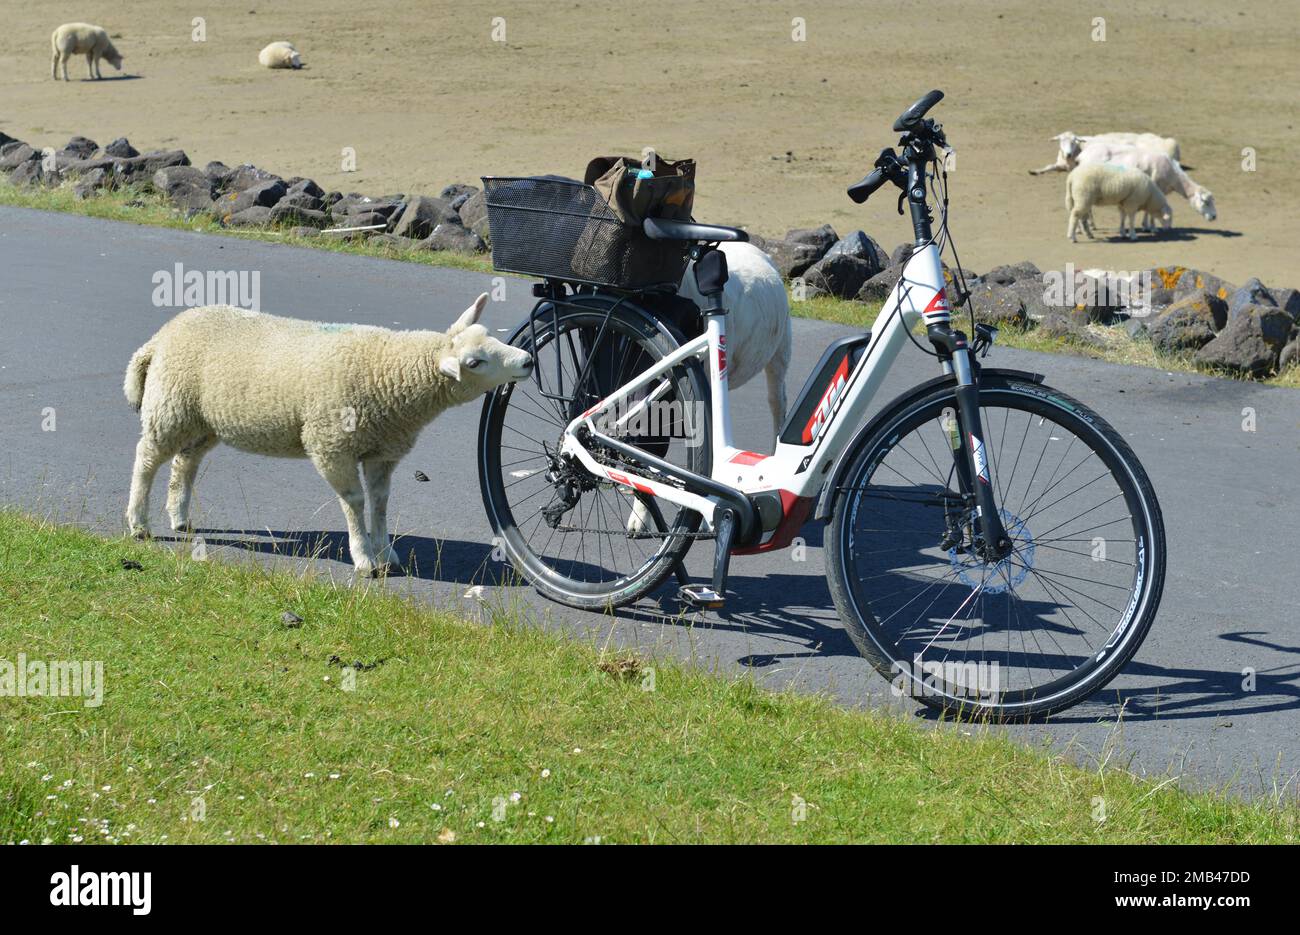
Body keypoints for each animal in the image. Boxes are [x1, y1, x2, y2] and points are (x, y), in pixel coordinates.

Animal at [123, 294, 533, 575]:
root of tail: (159, 338)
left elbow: (380, 501)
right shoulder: (332, 444)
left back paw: (179, 517)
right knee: (146, 458)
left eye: (488, 337)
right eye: (474, 362)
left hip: (204, 418)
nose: (528, 360)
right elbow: (354, 501)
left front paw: (386, 552)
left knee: (185, 461)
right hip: (170, 406)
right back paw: (139, 523)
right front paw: (365, 558)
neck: (388, 372)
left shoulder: (383, 451)